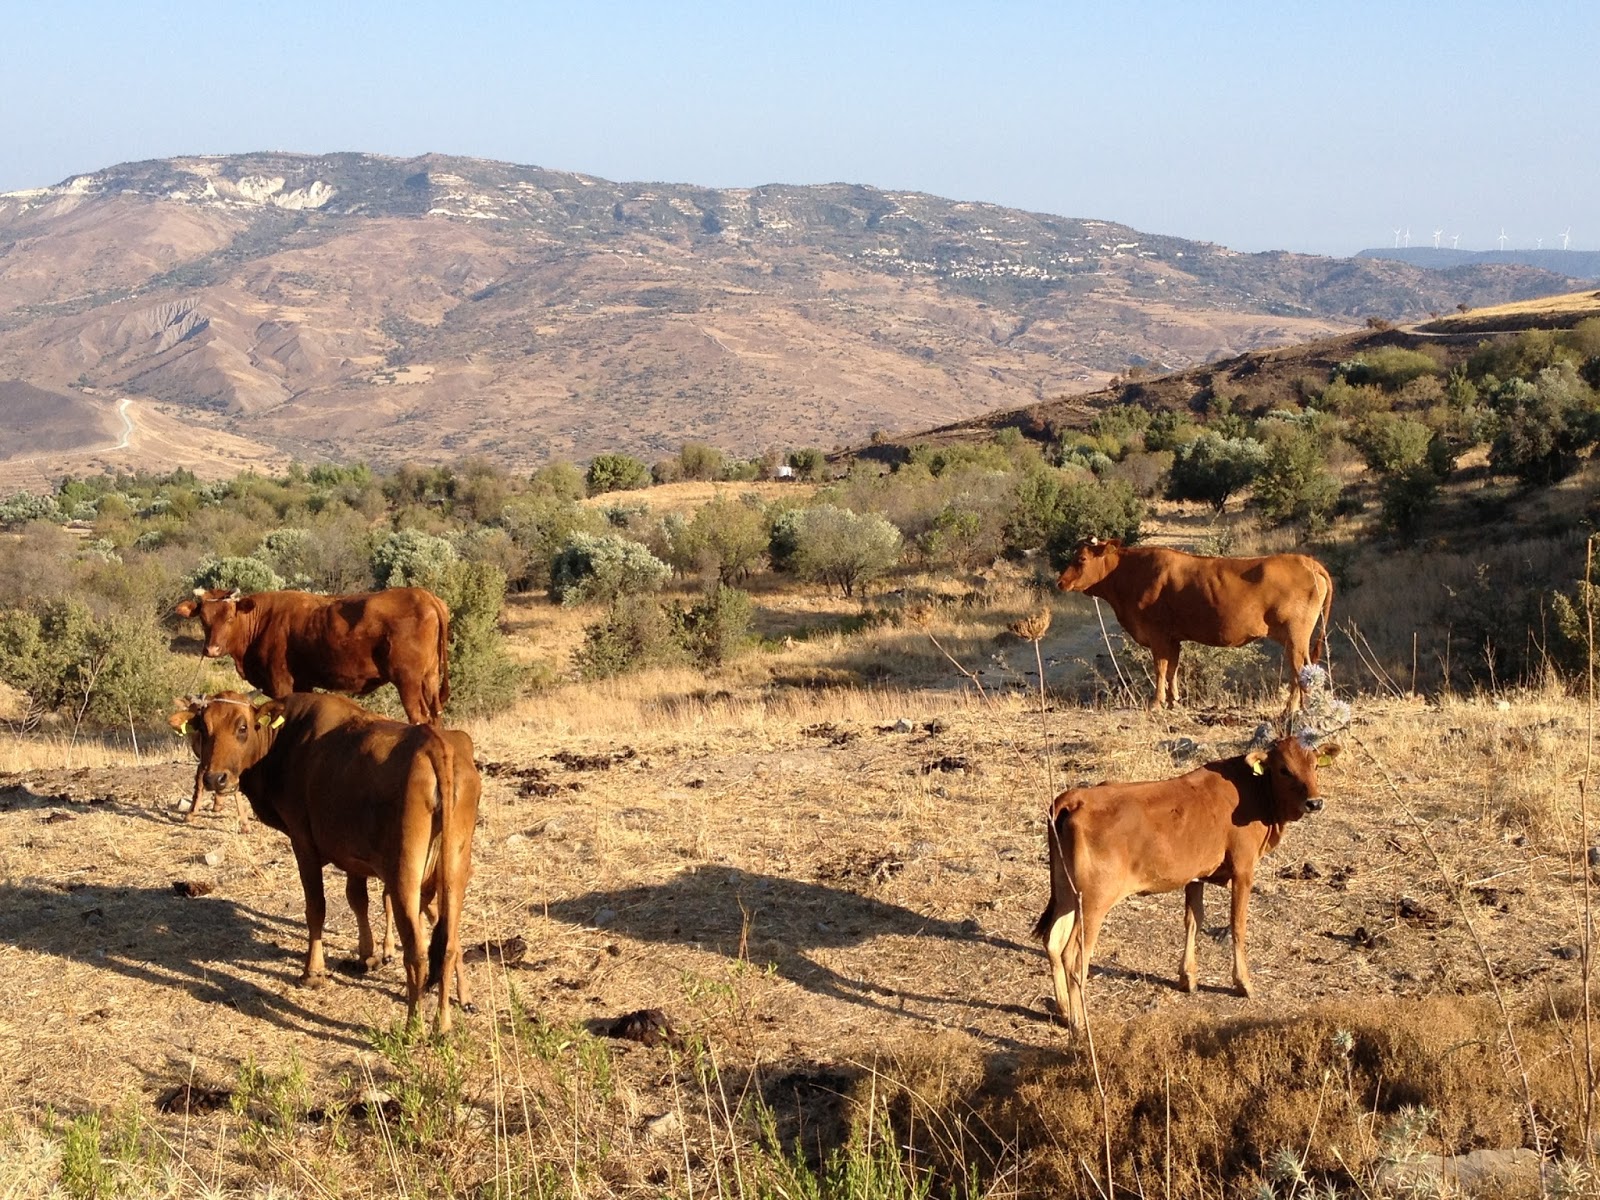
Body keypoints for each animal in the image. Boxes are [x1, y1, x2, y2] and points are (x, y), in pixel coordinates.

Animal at [168, 690, 481, 1033]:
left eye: (242, 727)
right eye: (203, 728)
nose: (215, 778)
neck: (286, 738)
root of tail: (433, 742)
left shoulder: (303, 841)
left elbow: (316, 908)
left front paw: (313, 971)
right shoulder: (354, 856)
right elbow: (357, 900)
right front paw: (366, 955)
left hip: (405, 877)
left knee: (417, 951)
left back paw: (413, 1025)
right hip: (453, 871)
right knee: (448, 942)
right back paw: (446, 1022)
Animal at [173, 587, 451, 725]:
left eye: (230, 617)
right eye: (203, 619)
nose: (211, 650)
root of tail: (425, 595)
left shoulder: (281, 682)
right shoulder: (303, 682)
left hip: (408, 680)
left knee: (420, 717)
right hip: (429, 678)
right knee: (434, 716)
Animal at [1033, 735, 1339, 1030]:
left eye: (1314, 765)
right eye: (1284, 769)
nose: (1315, 802)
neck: (1253, 791)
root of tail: (1074, 798)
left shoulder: (1196, 875)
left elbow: (1193, 921)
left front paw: (1187, 977)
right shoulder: (1243, 869)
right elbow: (1238, 925)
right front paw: (1244, 983)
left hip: (1066, 893)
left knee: (1053, 942)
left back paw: (1063, 1009)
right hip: (1093, 902)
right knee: (1074, 958)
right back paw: (1078, 1021)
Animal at [1056, 538, 1334, 710]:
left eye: (1081, 559)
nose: (1061, 582)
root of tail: (1307, 561)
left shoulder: (1157, 634)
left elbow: (1160, 667)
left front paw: (1156, 703)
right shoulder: (1173, 637)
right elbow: (1173, 668)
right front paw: (1174, 700)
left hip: (1295, 637)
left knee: (1300, 670)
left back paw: (1291, 710)